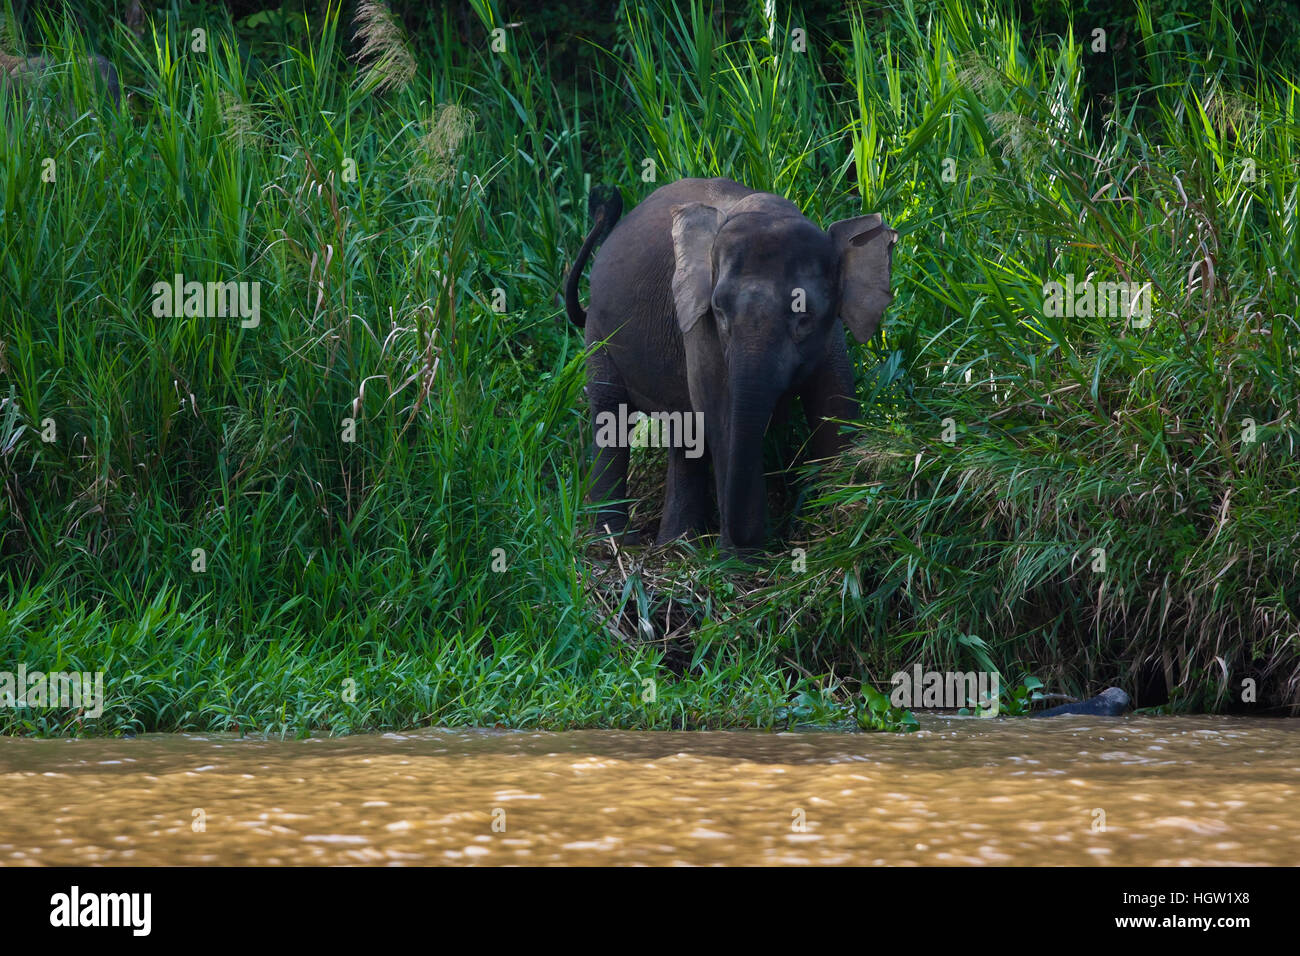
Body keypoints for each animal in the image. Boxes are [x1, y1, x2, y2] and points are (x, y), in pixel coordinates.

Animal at [564, 177, 897, 553]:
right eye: (720, 311)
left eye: (804, 318)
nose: (773, 537)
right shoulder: (699, 323)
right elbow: (722, 417)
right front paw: (740, 559)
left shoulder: (831, 336)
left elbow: (834, 407)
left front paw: (836, 524)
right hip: (599, 333)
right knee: (611, 411)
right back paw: (617, 543)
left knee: (684, 429)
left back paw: (677, 545)